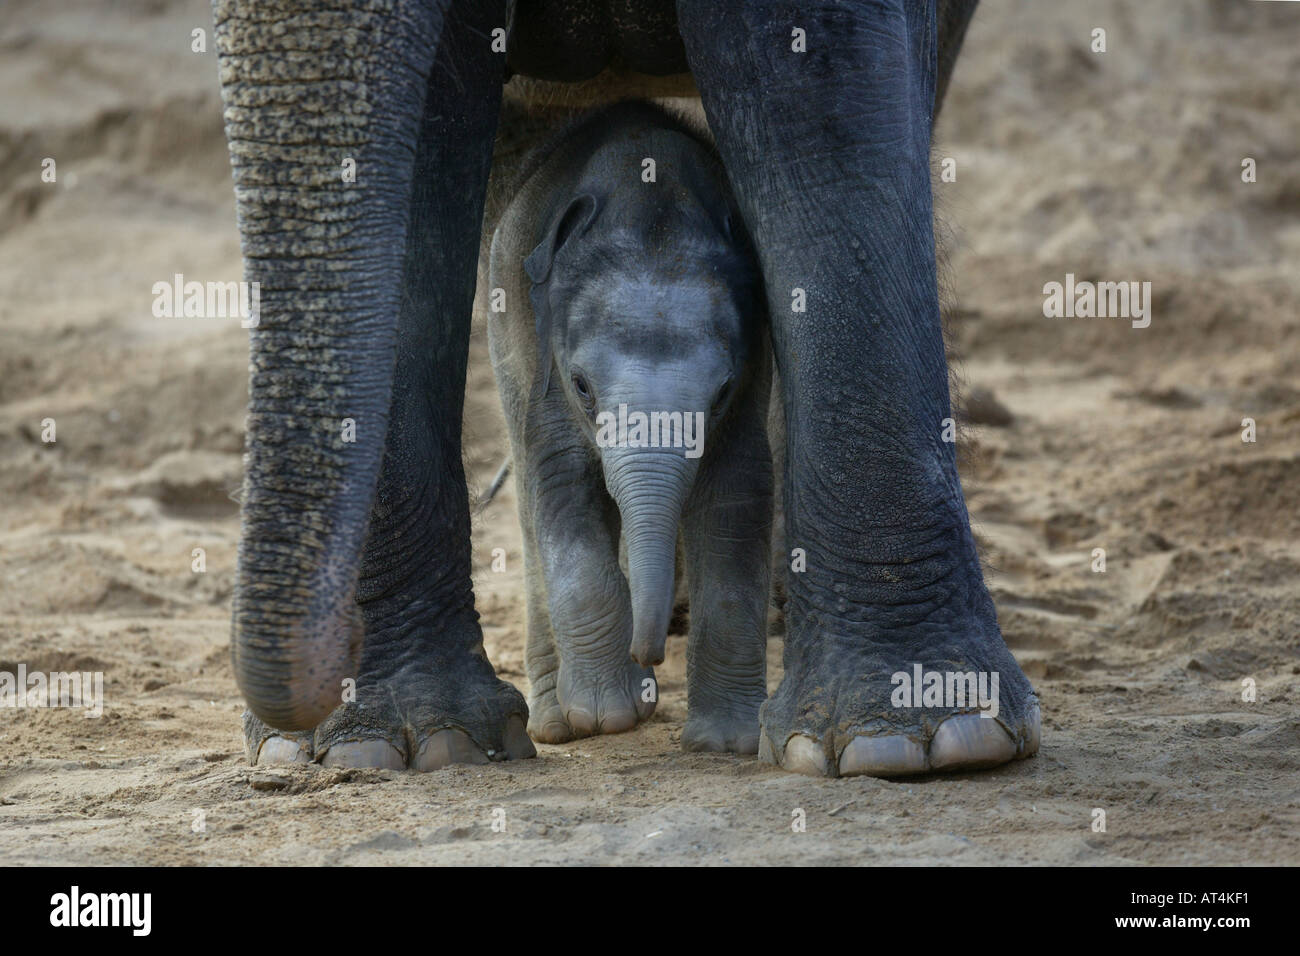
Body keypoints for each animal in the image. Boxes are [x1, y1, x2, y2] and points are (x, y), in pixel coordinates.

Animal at [487, 100, 771, 752]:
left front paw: (726, 743)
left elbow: (738, 498)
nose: (652, 656)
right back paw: (558, 723)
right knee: (531, 508)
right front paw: (605, 718)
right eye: (582, 387)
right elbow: (561, 486)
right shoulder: (543, 360)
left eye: (720, 393)